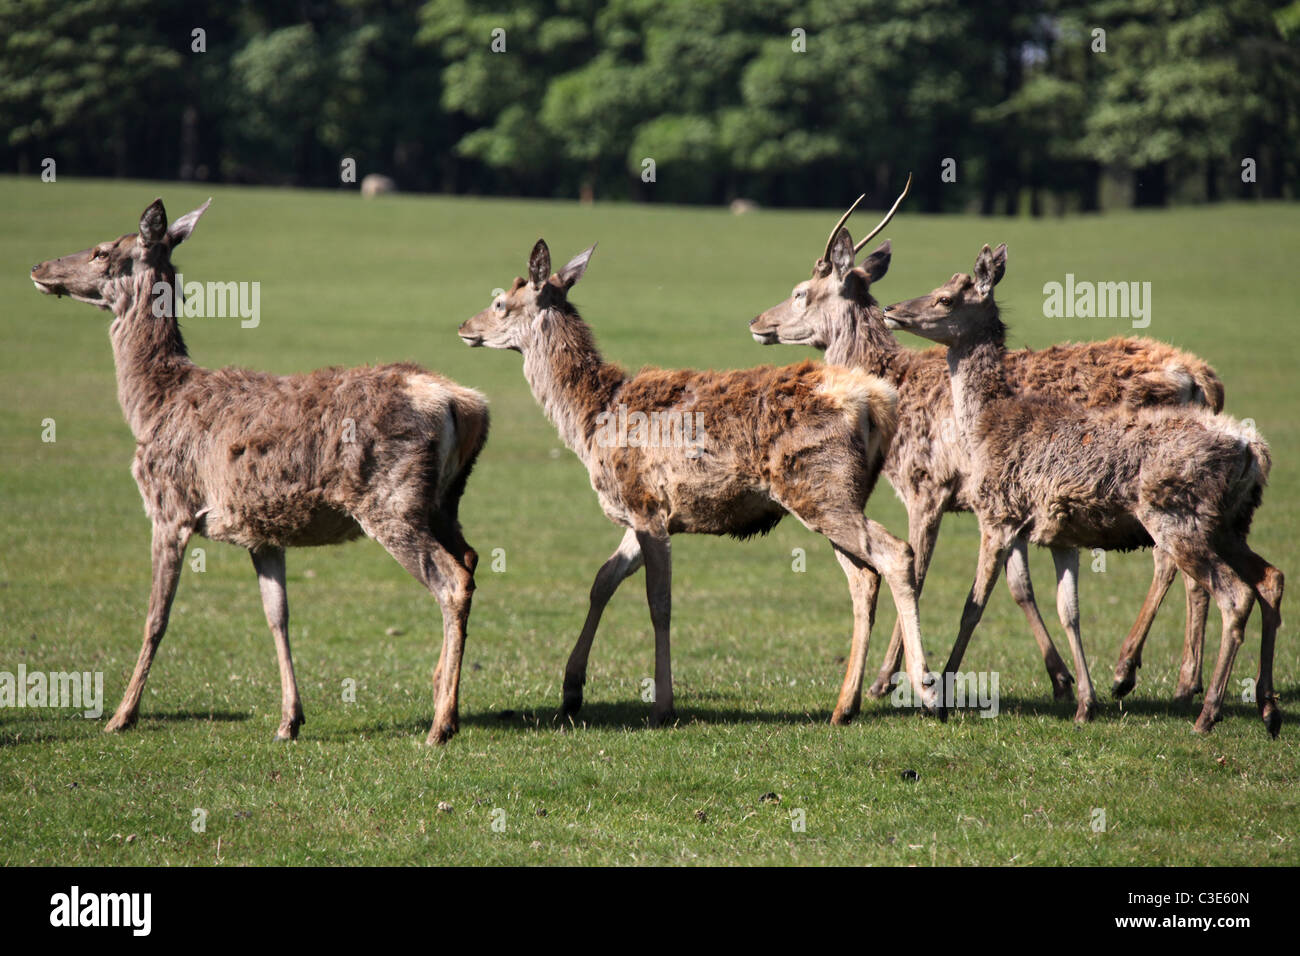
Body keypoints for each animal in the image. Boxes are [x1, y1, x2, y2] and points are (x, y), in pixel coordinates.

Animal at [29, 197, 488, 743]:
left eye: (102, 251)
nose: (39, 267)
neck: (152, 405)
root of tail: (463, 403)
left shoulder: (170, 507)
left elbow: (156, 617)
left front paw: (121, 715)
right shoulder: (262, 530)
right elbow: (277, 615)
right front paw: (290, 719)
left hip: (392, 502)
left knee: (451, 580)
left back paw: (441, 723)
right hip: (444, 503)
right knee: (471, 559)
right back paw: (443, 696)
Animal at [460, 238, 946, 723]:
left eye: (500, 302)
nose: (465, 325)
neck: (589, 420)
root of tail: (877, 402)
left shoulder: (645, 504)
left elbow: (659, 603)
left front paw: (662, 704)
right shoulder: (644, 514)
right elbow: (602, 580)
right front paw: (571, 690)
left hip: (821, 488)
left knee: (896, 553)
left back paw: (924, 691)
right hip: (836, 494)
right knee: (864, 577)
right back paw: (845, 705)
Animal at [748, 184, 1222, 723]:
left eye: (801, 291)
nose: (758, 321)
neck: (897, 386)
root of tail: (1202, 379)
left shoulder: (927, 486)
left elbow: (918, 571)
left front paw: (890, 681)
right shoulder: (996, 503)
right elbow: (1018, 587)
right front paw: (1060, 680)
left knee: (1170, 558)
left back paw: (1132, 671)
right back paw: (1182, 684)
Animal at [883, 243, 1279, 738]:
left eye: (945, 298)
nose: (890, 309)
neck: (982, 427)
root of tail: (1253, 450)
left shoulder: (996, 514)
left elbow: (973, 605)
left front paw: (942, 694)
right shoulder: (1061, 535)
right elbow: (1068, 610)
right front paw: (1084, 702)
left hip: (1177, 517)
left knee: (1232, 593)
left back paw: (1206, 711)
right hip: (1231, 524)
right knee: (1270, 579)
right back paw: (1266, 707)